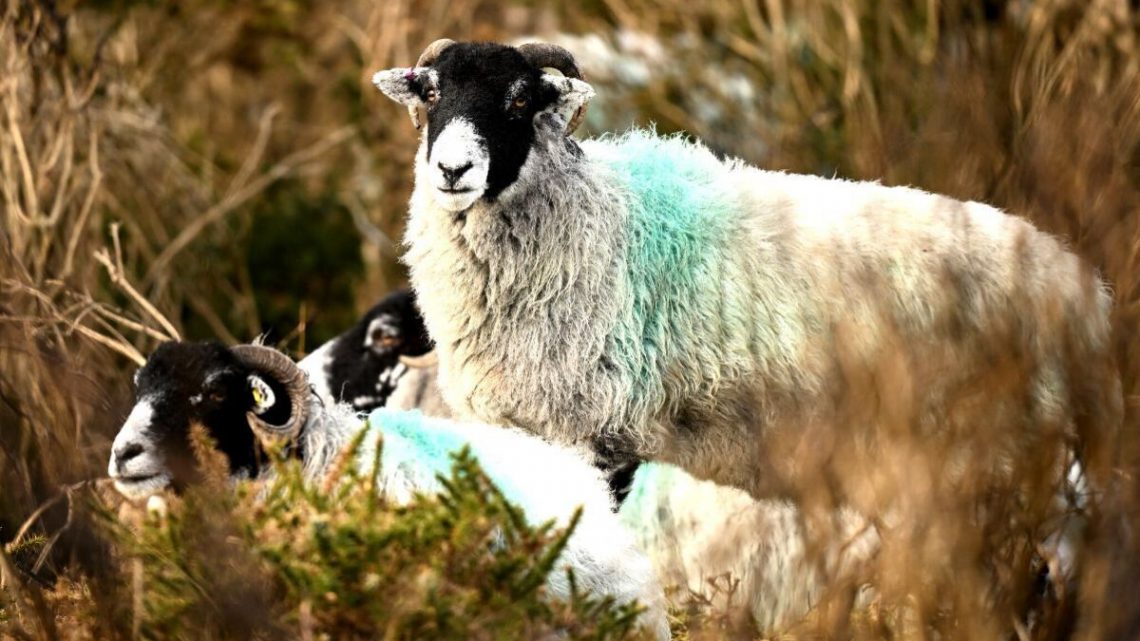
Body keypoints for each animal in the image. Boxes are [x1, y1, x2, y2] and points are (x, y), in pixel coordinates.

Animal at [369, 41, 1117, 508]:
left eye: (521, 101)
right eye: (431, 94)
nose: (453, 170)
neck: (595, 218)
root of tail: (1081, 287)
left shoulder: (603, 436)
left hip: (995, 456)